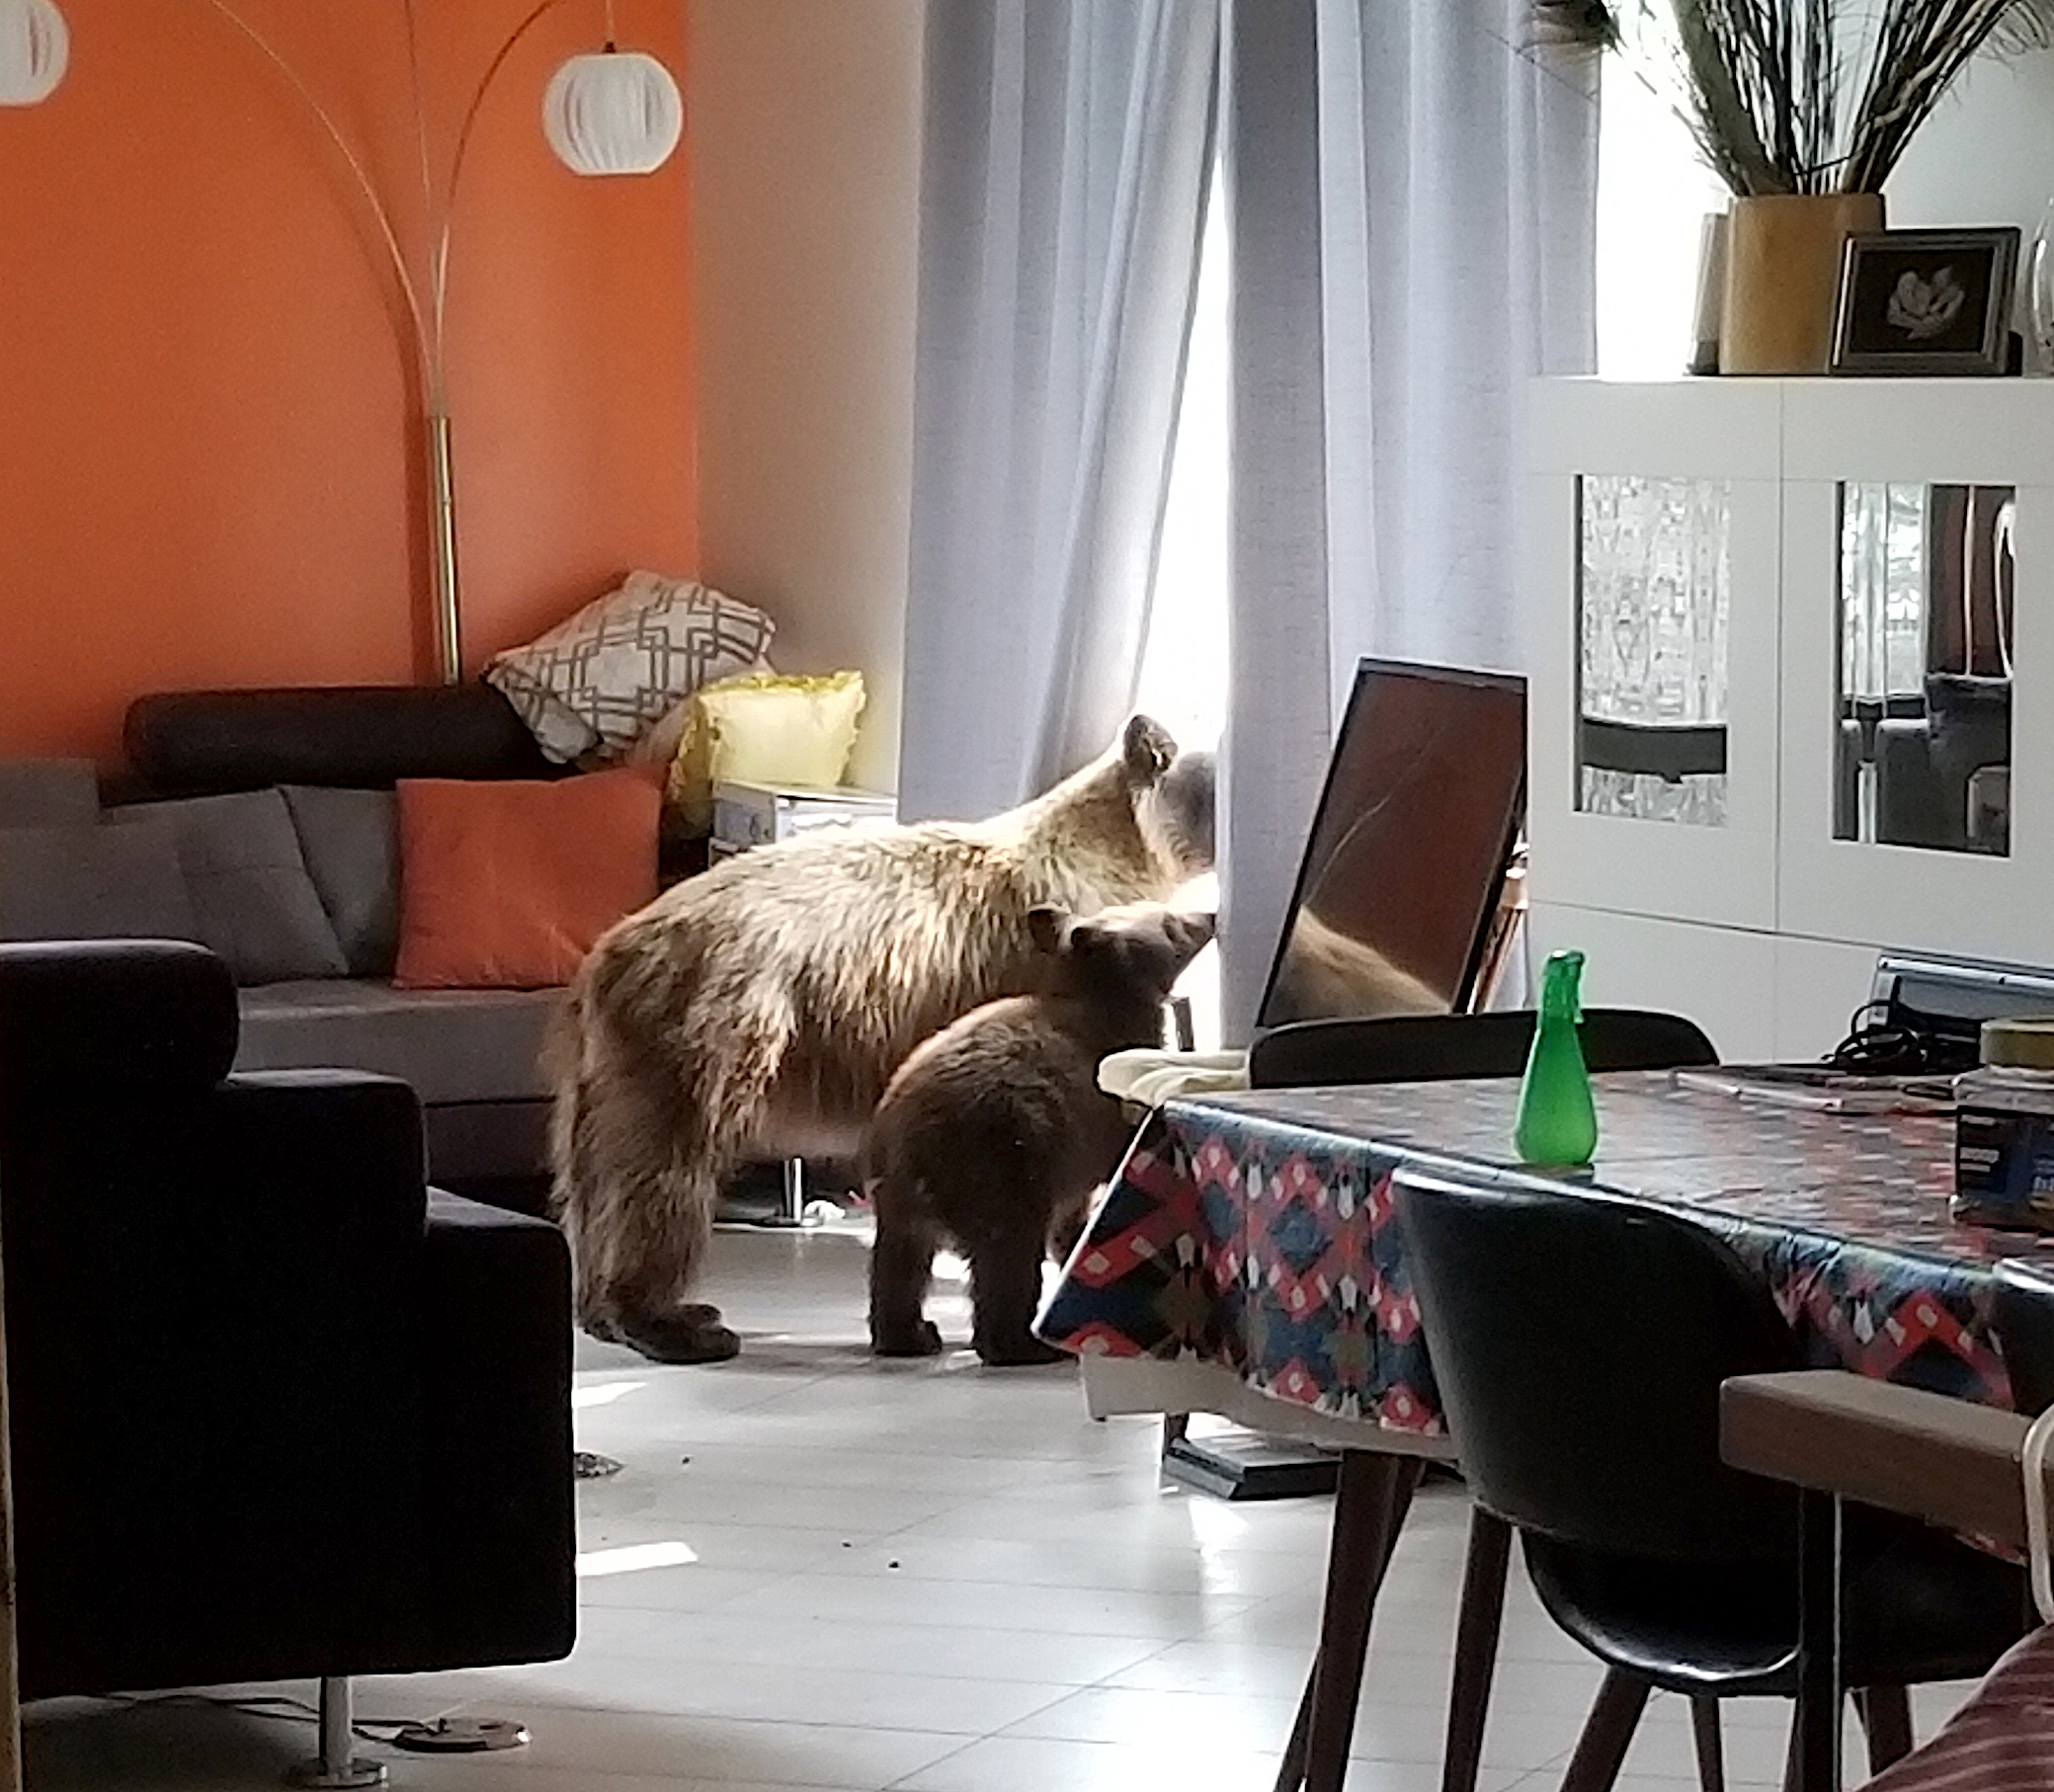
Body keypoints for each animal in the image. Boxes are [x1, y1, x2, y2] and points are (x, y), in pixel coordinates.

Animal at [865, 902, 1217, 1366]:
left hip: (900, 1199)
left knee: (899, 1264)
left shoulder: (1074, 1150)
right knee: (1007, 1255)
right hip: (1001, 1158)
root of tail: (909, 1147)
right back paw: (1024, 1345)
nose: (1211, 915)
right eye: (1172, 921)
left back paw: (911, 1336)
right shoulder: (1102, 1100)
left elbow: (1073, 1218)